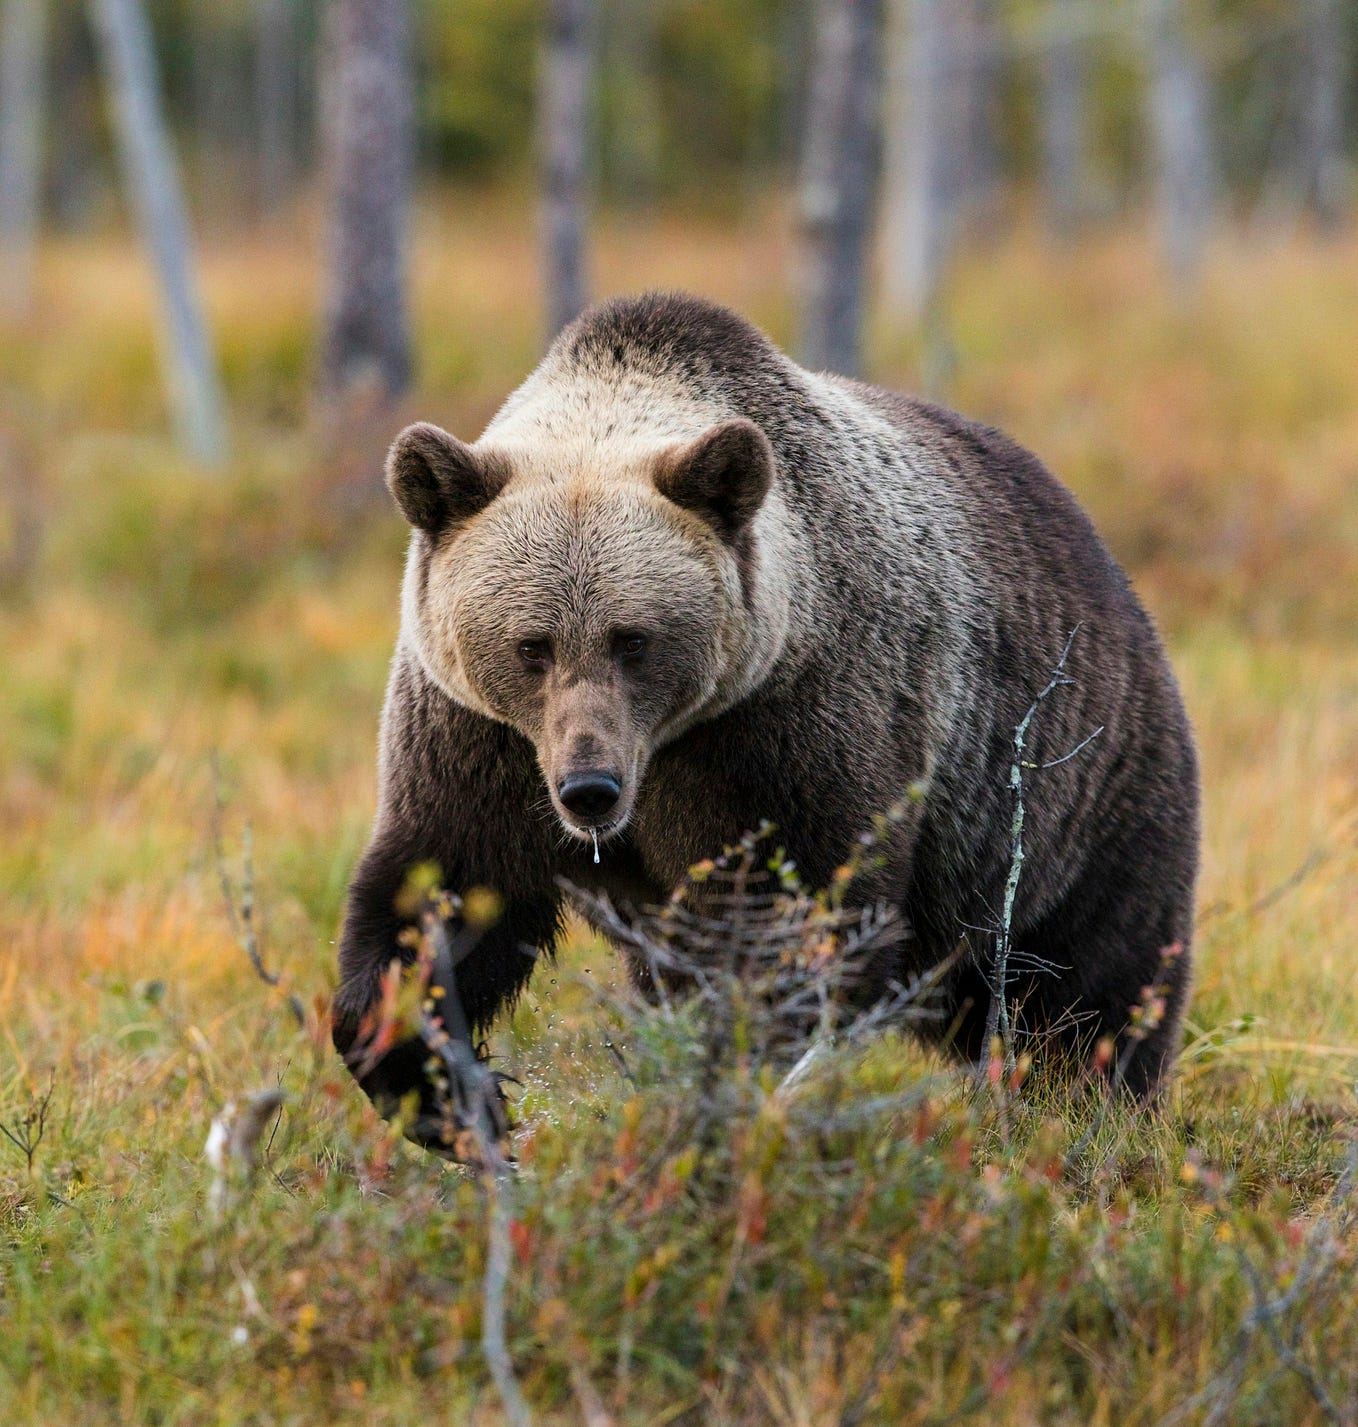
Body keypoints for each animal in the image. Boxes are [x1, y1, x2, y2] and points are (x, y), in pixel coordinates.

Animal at [332, 292, 1199, 1149]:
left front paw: (729, 1076)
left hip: (1068, 793)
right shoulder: (479, 738)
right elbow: (441, 888)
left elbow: (792, 919)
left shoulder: (790, 726)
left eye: (632, 639)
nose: (590, 788)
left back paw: (1096, 1108)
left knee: (1090, 984)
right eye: (532, 645)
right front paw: (441, 1086)